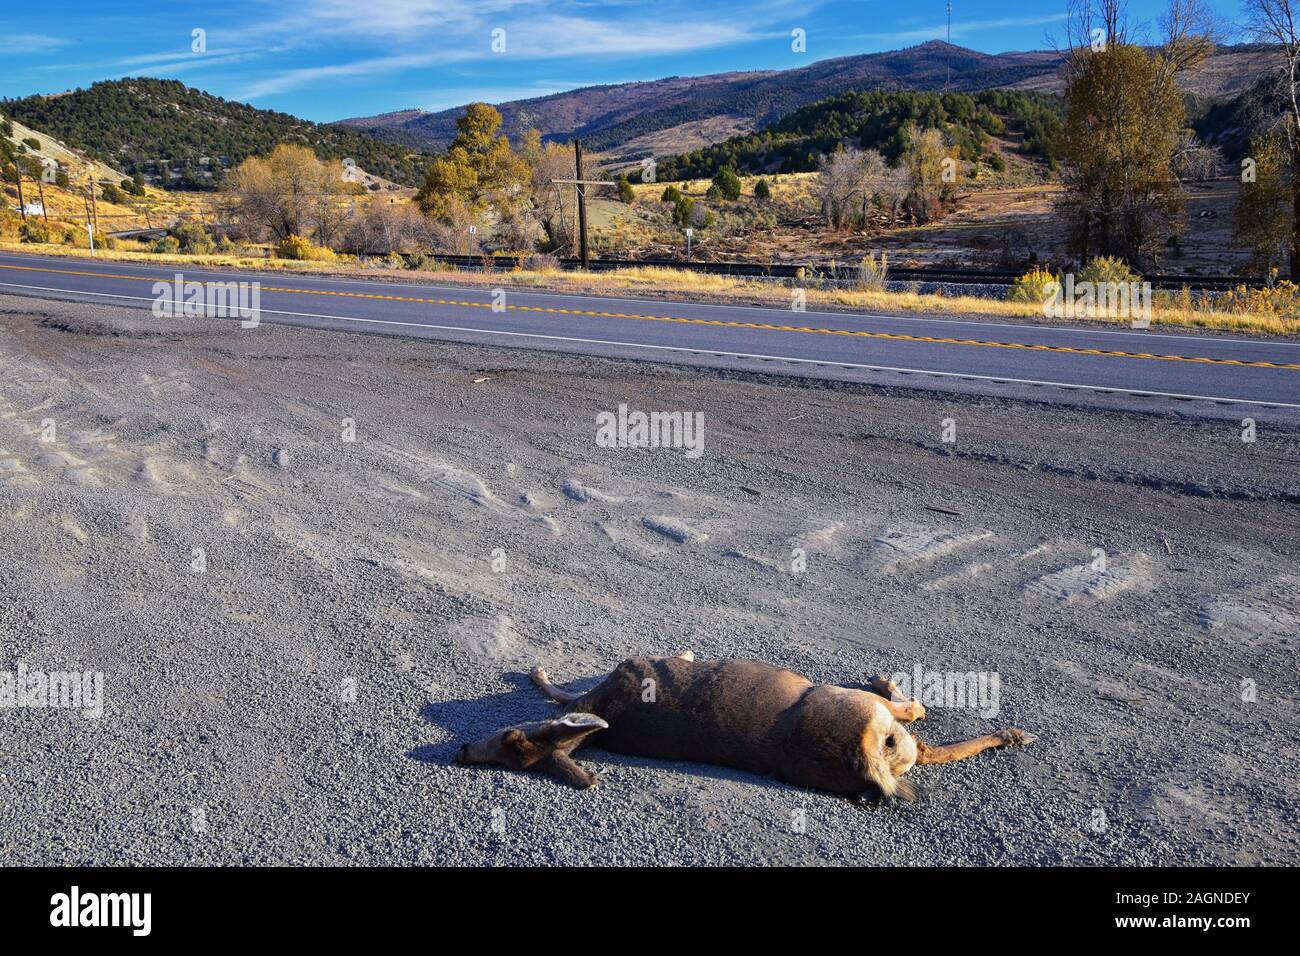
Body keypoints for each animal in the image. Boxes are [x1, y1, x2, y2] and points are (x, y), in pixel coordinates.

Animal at [455, 652, 1035, 800]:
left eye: (506, 742)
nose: (462, 751)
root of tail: (865, 756)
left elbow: (550, 687)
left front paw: (534, 673)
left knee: (927, 738)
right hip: (854, 703)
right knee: (915, 718)